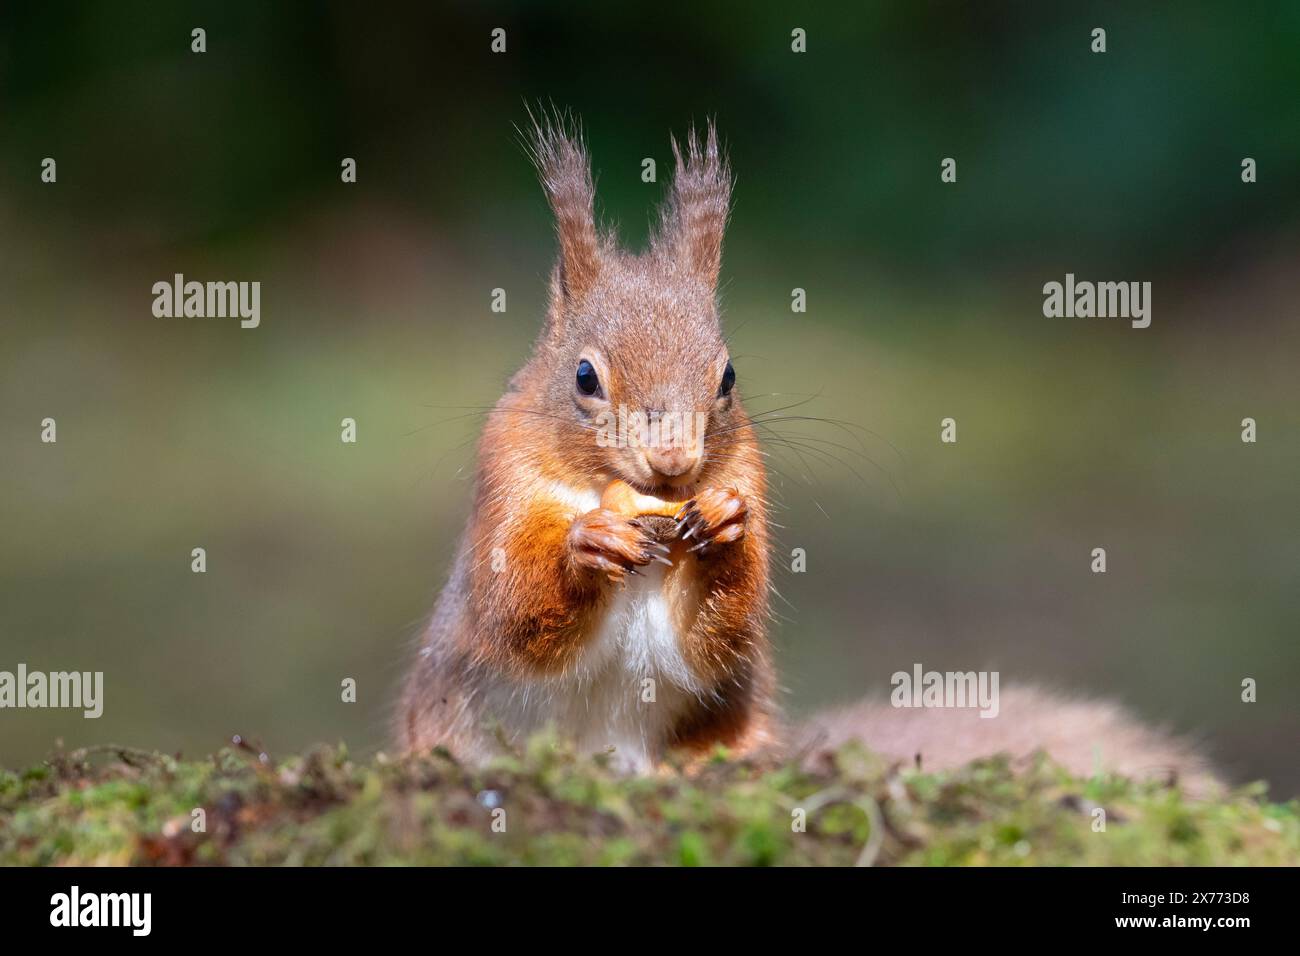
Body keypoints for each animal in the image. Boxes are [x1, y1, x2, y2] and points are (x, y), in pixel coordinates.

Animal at [398, 114, 1216, 792]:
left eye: (728, 377)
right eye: (584, 378)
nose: (673, 462)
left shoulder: (746, 486)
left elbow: (714, 638)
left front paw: (726, 533)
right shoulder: (505, 490)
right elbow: (515, 611)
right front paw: (588, 542)